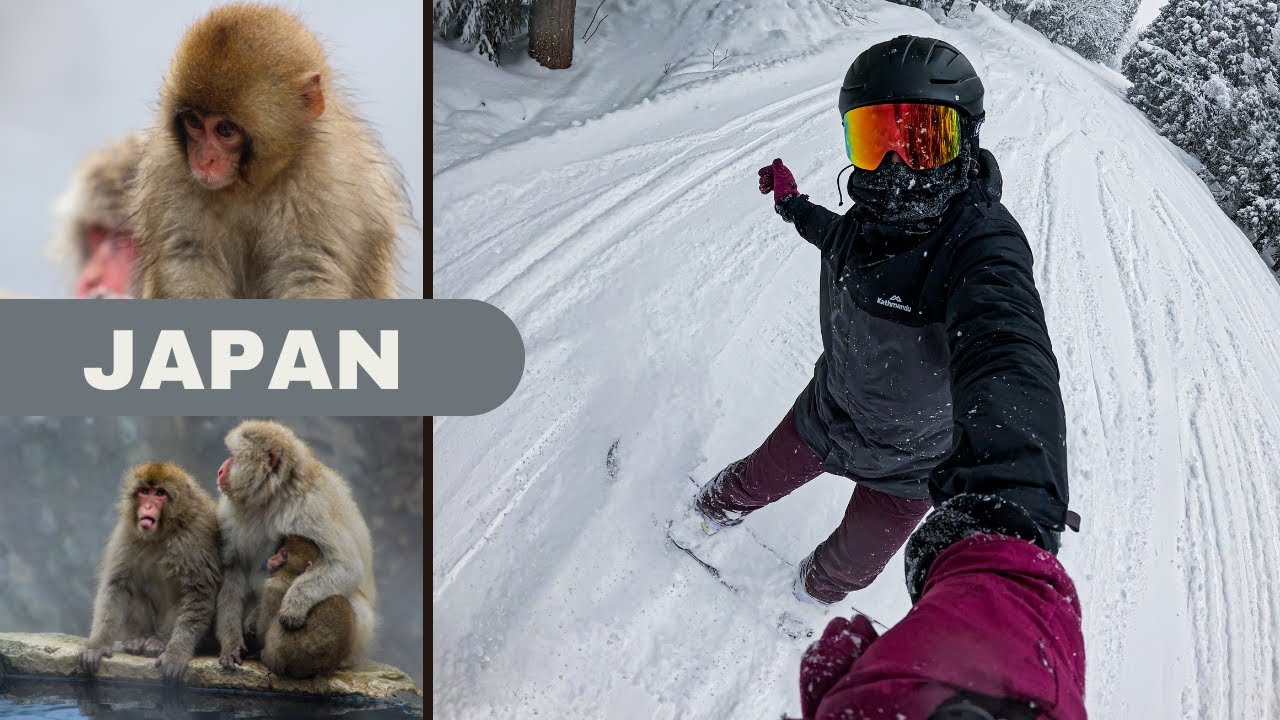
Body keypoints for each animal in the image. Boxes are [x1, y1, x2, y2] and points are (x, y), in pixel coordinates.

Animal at [78, 462, 221, 683]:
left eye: (160, 493)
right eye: (145, 491)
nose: (147, 507)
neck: (162, 534)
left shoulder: (196, 538)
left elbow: (199, 594)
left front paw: (176, 654)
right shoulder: (127, 534)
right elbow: (117, 585)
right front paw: (97, 645)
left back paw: (160, 642)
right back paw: (138, 639)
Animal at [130, 3, 411, 299]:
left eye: (225, 129)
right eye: (194, 122)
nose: (204, 160)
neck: (253, 187)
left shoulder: (327, 183)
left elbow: (307, 268)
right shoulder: (169, 169)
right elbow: (190, 255)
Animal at [254, 535, 356, 678]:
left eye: (283, 554)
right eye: (279, 551)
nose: (272, 558)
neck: (294, 575)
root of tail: (321, 669)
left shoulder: (275, 585)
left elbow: (262, 632)